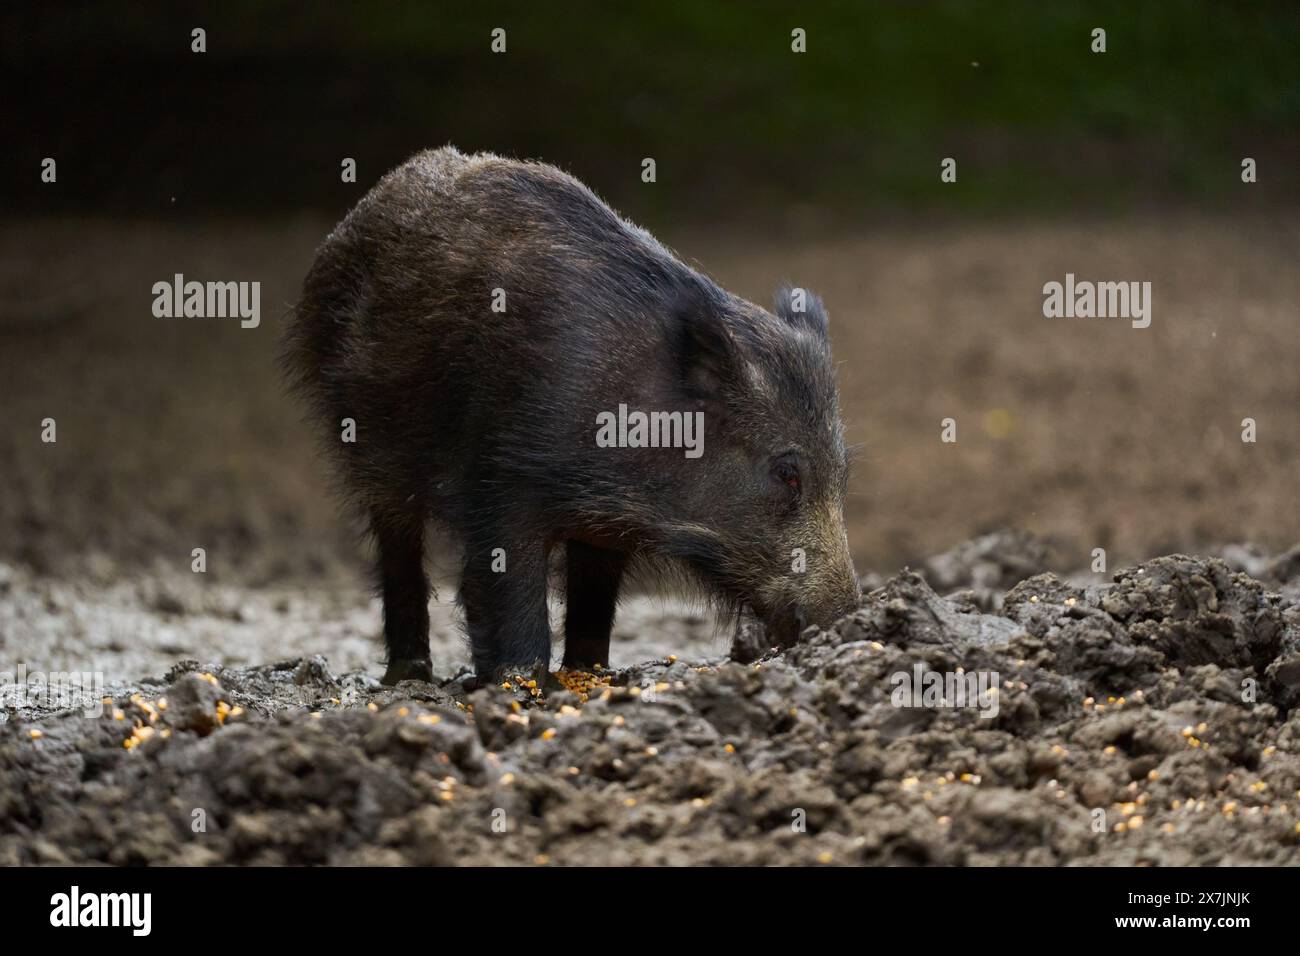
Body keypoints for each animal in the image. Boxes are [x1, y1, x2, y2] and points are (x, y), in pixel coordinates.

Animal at [281, 146, 858, 685]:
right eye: (787, 472)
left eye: (843, 474)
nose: (846, 618)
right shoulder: (502, 479)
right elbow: (504, 592)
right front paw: (523, 685)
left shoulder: (606, 521)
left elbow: (594, 596)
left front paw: (590, 672)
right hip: (366, 444)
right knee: (398, 550)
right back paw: (411, 673)